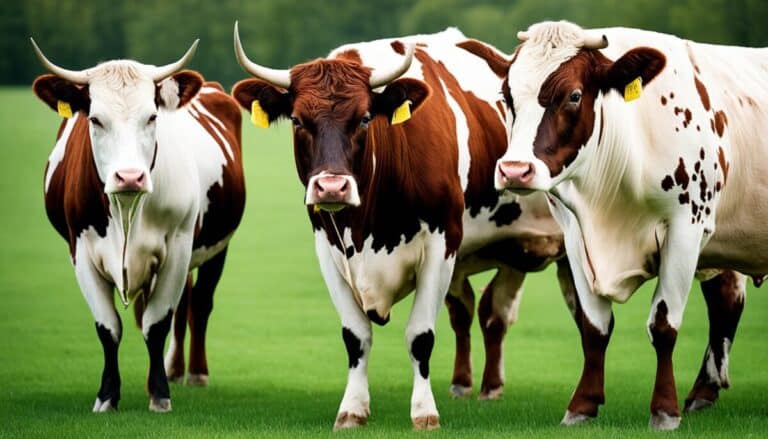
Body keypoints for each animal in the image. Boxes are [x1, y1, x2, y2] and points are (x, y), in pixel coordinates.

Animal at [32, 40, 245, 412]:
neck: (127, 211)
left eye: (152, 116)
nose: (129, 176)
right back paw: (172, 370)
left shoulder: (178, 247)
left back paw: (194, 372)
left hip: (216, 247)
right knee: (181, 305)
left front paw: (159, 394)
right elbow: (109, 327)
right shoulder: (81, 252)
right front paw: (107, 396)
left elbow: (156, 324)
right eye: (96, 119)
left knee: (199, 303)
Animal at [231, 24, 572, 429]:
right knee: (487, 312)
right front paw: (352, 409)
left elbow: (420, 336)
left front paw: (424, 412)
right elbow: (355, 336)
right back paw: (477, 386)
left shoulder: (443, 244)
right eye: (298, 121)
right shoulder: (327, 249)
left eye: (364, 118)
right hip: (510, 255)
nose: (331, 186)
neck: (367, 227)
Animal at [478, 20, 755, 429]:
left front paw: (664, 409)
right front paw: (582, 405)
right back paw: (703, 392)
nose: (515, 170)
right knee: (726, 299)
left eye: (574, 95)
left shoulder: (685, 229)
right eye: (507, 96)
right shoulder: (576, 237)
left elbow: (663, 324)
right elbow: (594, 326)